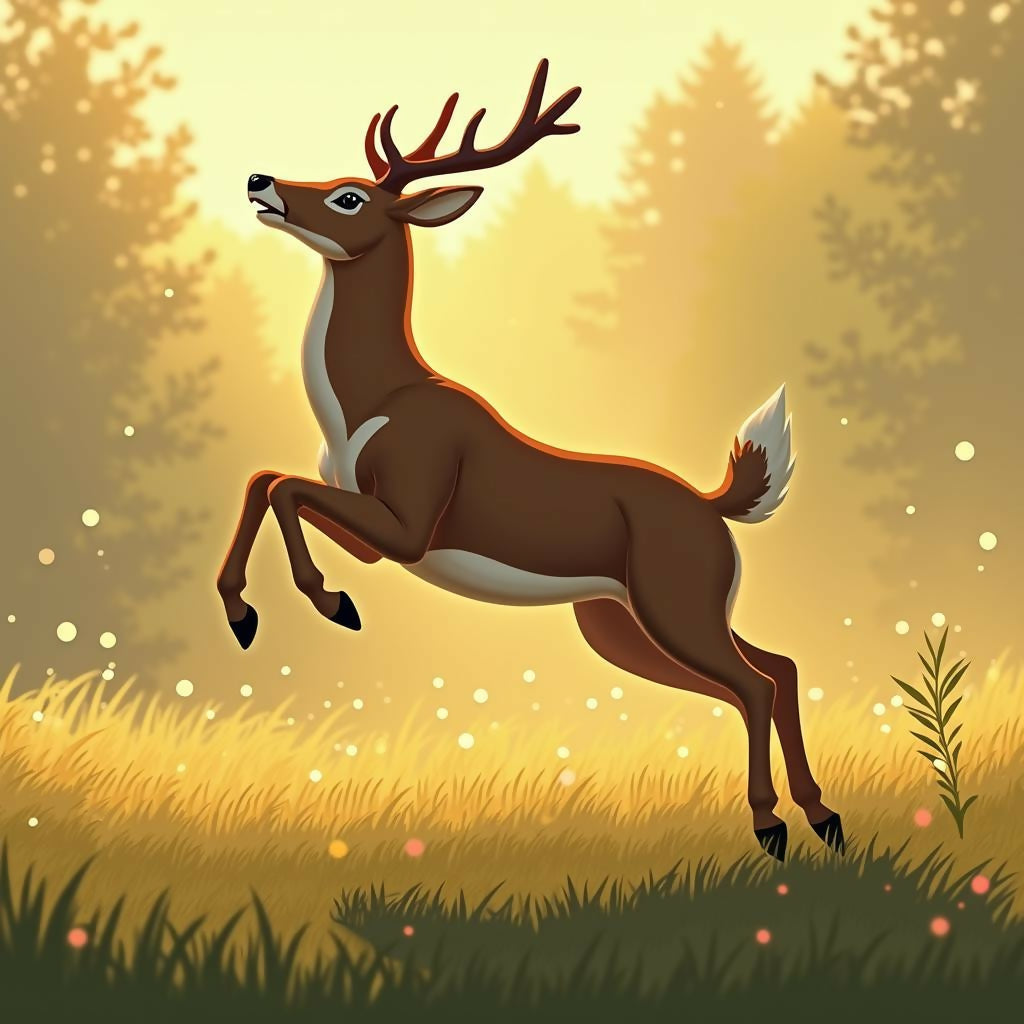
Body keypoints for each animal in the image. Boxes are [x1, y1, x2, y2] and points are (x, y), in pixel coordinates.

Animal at [217, 59, 844, 861]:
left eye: (349, 195)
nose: (259, 178)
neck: (373, 402)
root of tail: (713, 506)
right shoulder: (378, 536)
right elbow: (266, 480)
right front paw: (245, 612)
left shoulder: (414, 517)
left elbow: (285, 489)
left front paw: (329, 603)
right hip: (622, 623)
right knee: (775, 670)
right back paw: (821, 817)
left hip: (675, 598)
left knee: (756, 682)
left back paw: (772, 824)